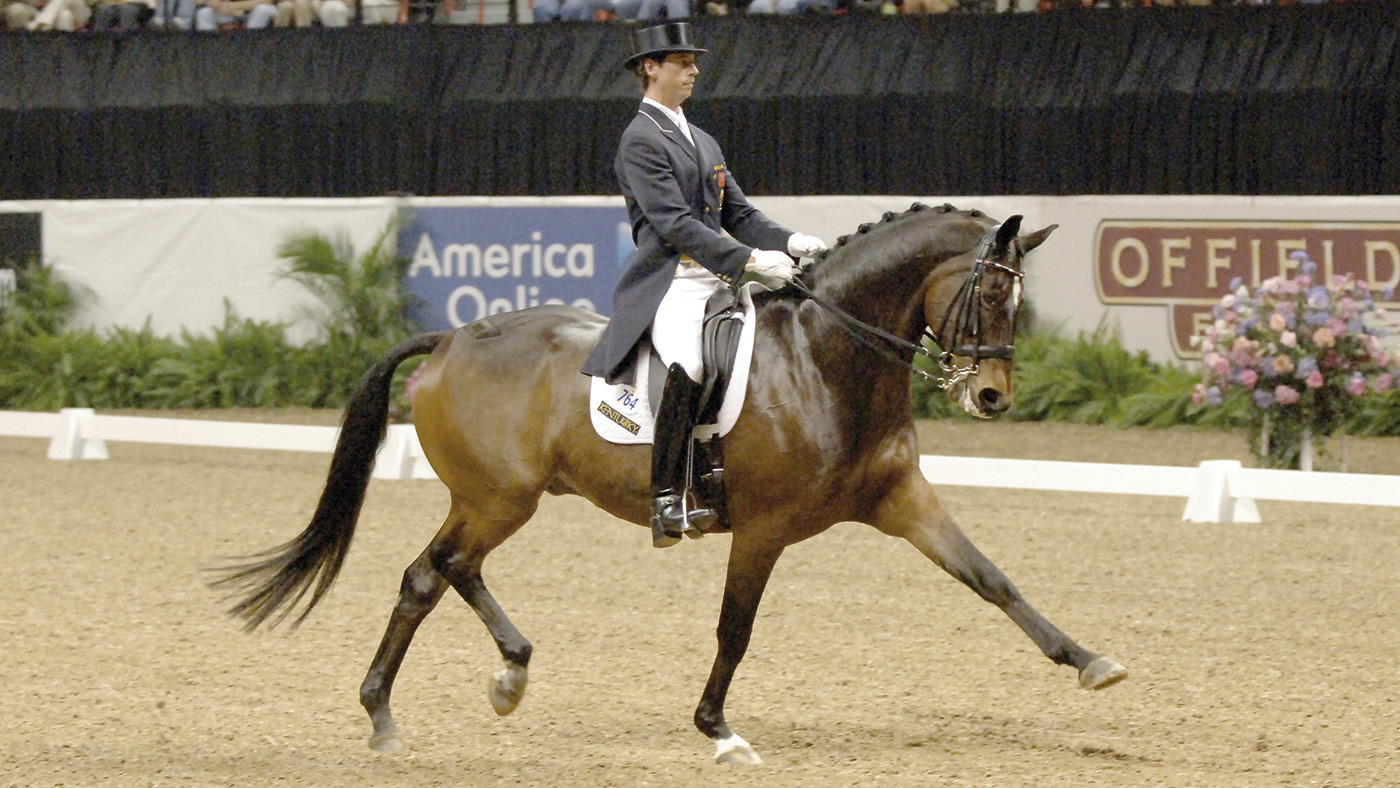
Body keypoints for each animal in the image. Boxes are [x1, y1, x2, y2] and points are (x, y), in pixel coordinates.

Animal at [215, 203, 1127, 766]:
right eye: (992, 290)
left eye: (1019, 299)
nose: (992, 397)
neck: (827, 360)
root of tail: (450, 338)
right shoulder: (763, 529)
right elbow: (735, 630)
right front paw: (718, 731)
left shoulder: (902, 500)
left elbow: (992, 580)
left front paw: (1090, 662)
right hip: (498, 498)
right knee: (426, 576)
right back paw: (385, 715)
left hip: (496, 499)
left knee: (449, 570)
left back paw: (507, 675)